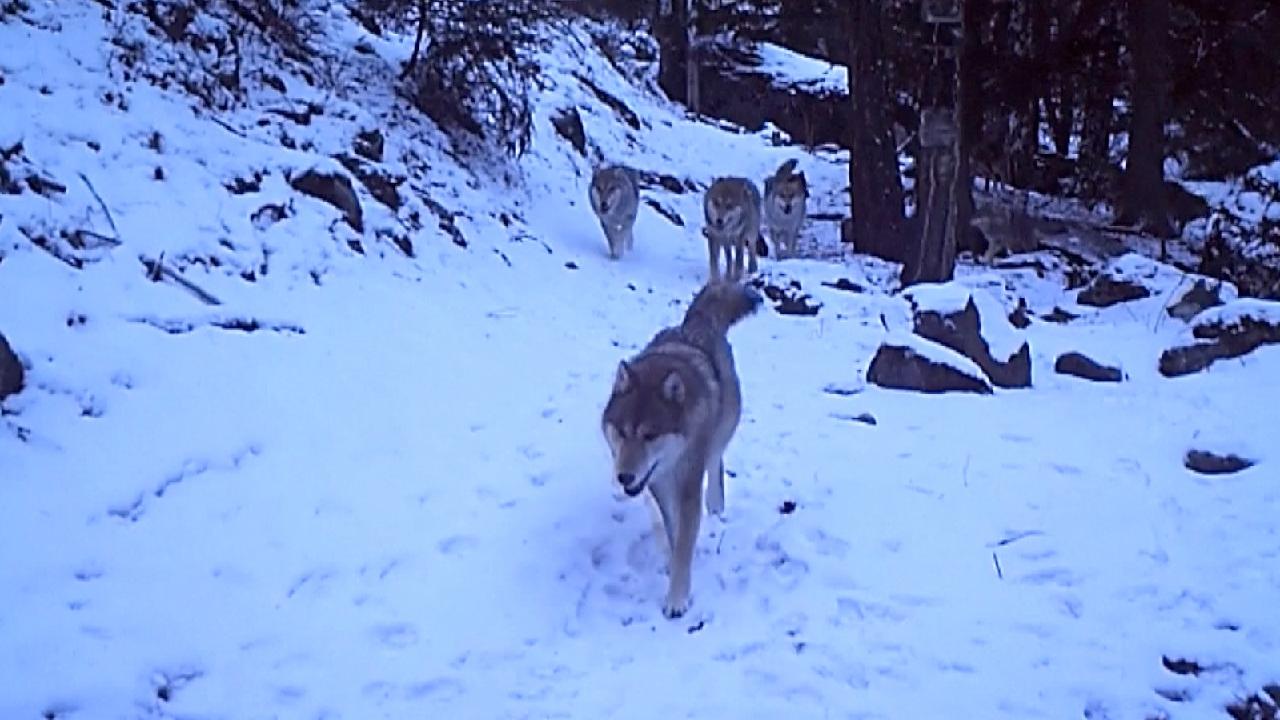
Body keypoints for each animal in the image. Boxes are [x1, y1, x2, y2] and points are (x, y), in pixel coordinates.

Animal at [601, 281, 763, 618]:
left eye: (649, 435)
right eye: (622, 432)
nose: (623, 477)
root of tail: (696, 321)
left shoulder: (688, 484)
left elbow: (686, 542)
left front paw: (677, 599)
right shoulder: (658, 485)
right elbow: (674, 533)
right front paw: (672, 561)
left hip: (721, 432)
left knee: (716, 460)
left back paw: (716, 504)